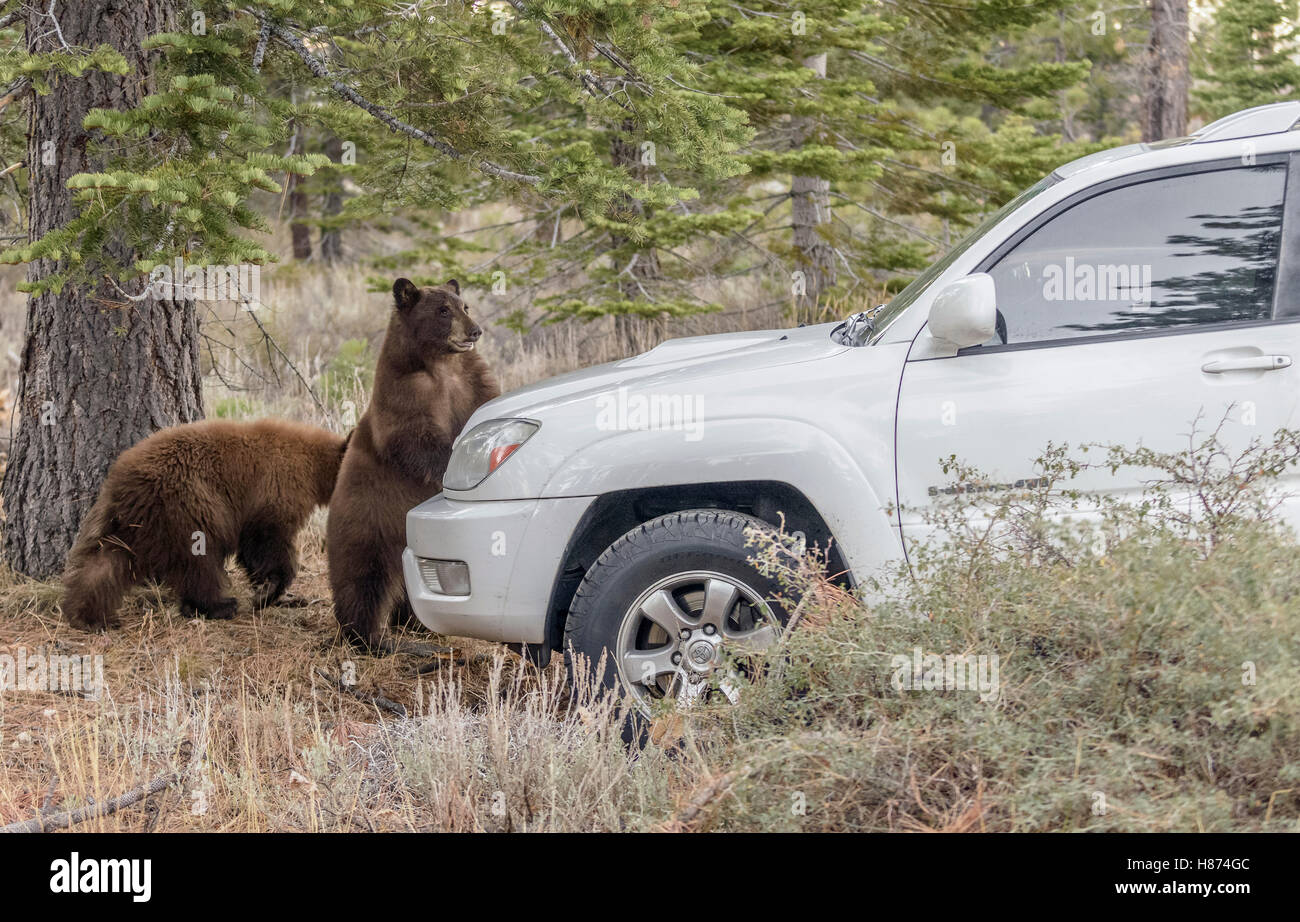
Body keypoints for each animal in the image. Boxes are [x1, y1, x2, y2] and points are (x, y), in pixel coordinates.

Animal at [61, 419, 351, 630]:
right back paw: (219, 605)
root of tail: (123, 483)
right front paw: (268, 591)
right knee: (200, 564)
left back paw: (86, 615)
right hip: (189, 507)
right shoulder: (276, 491)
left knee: (104, 562)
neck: (313, 465)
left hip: (127, 523)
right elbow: (266, 543)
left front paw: (268, 593)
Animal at [328, 278, 500, 651]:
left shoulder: (470, 384)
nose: (475, 331)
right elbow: (414, 439)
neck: (440, 364)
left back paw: (418, 626)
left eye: (464, 306)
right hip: (368, 527)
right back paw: (372, 637)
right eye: (443, 311)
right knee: (363, 583)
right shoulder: (404, 393)